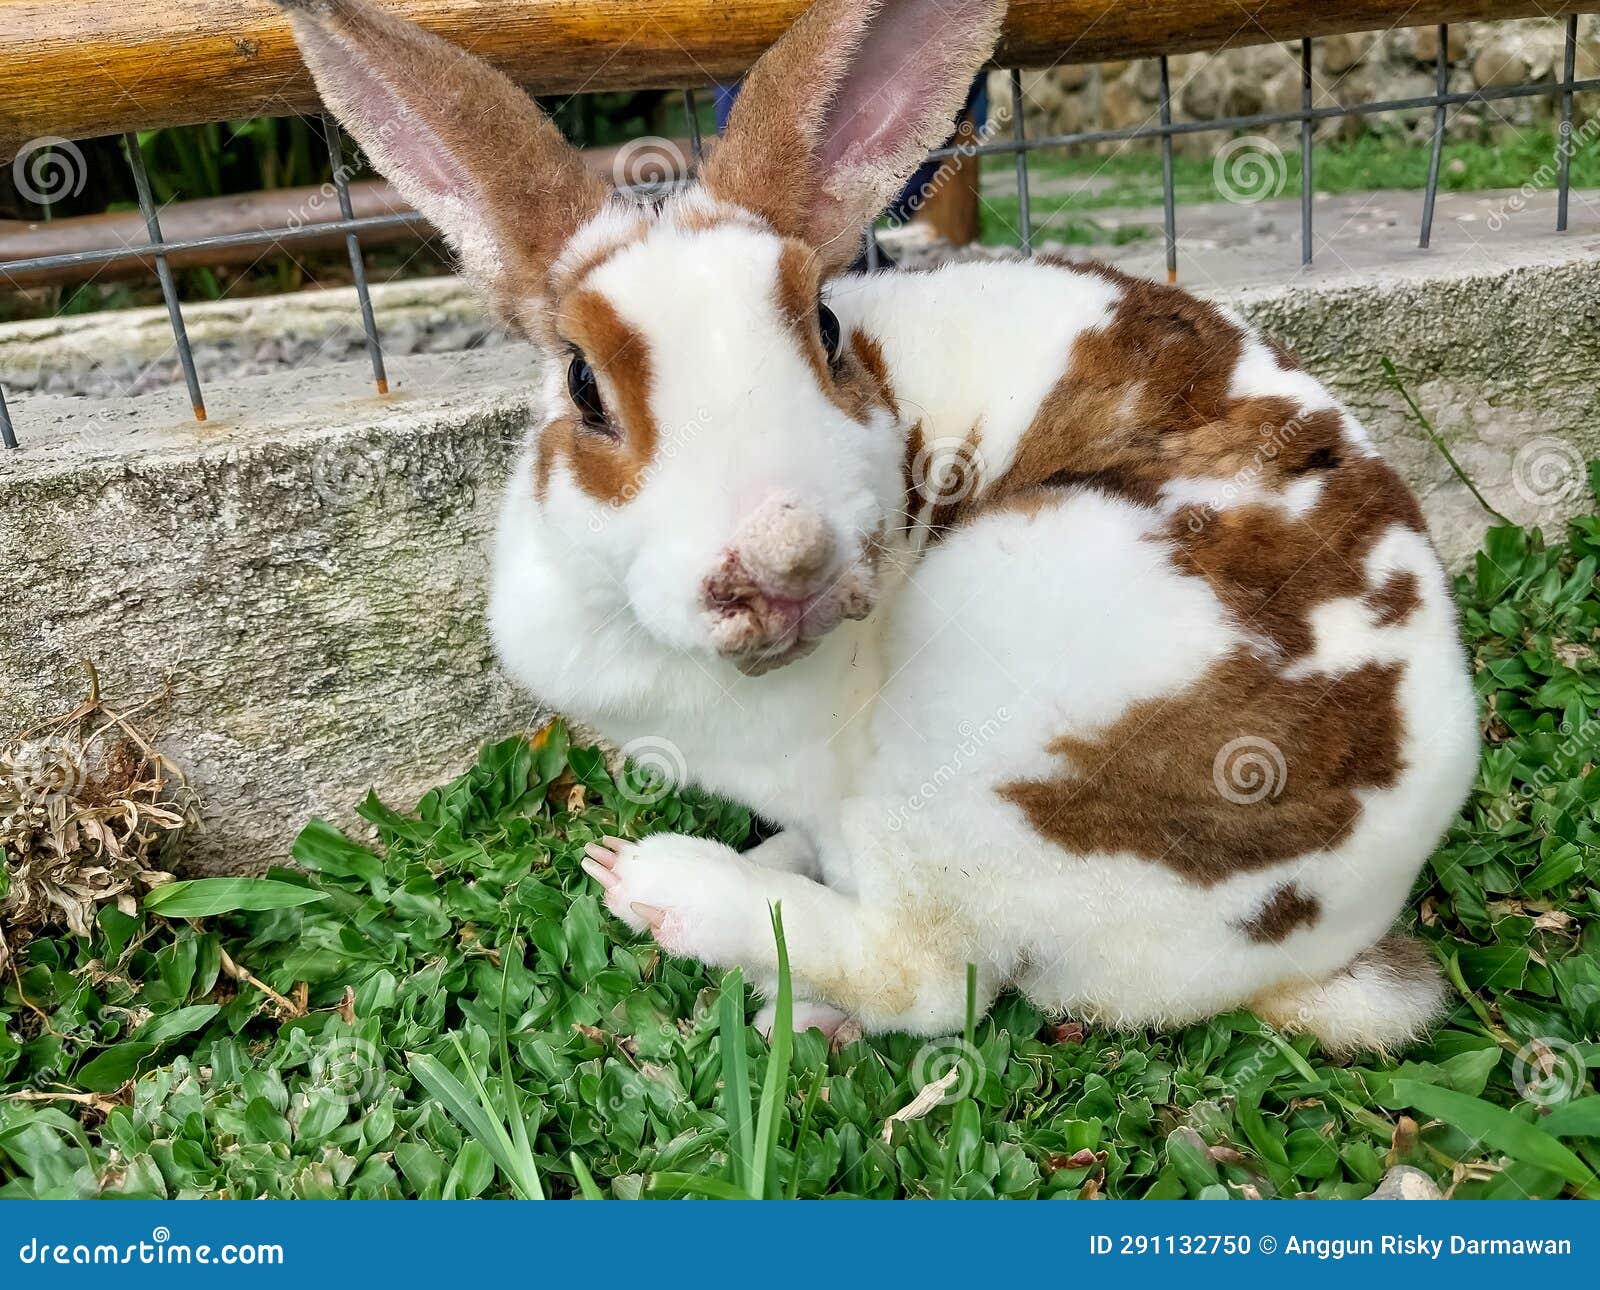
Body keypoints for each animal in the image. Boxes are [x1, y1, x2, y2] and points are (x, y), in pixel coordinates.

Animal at [280, 0, 1481, 1053]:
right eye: (584, 388)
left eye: (823, 330)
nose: (786, 557)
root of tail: (1314, 946)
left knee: (936, 979)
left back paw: (668, 887)